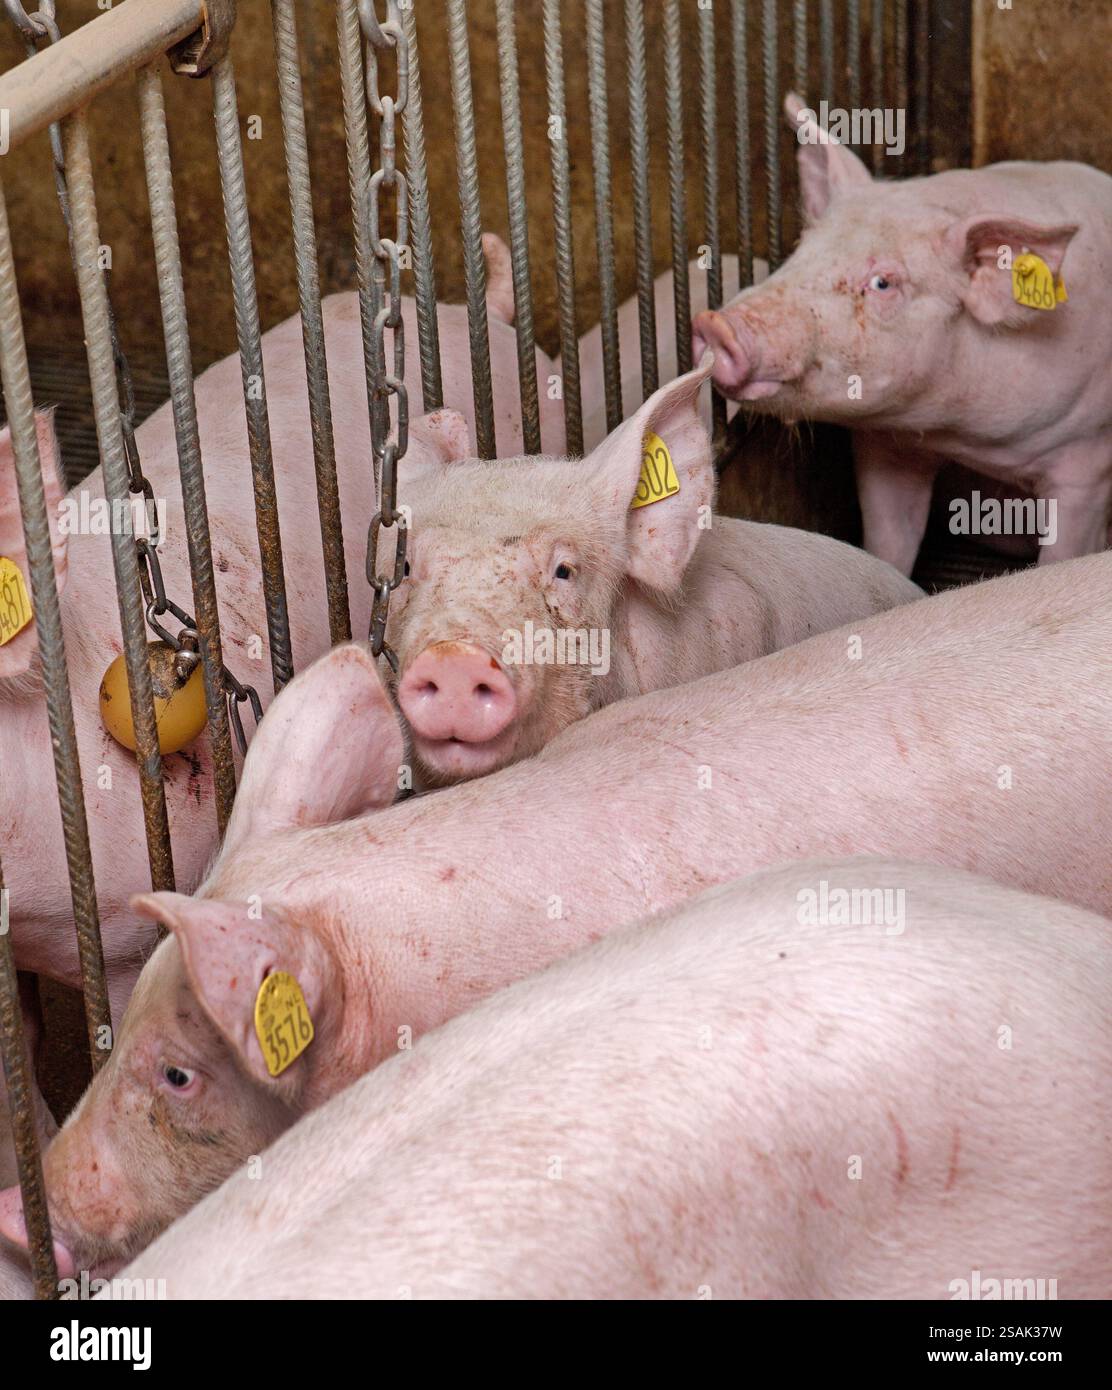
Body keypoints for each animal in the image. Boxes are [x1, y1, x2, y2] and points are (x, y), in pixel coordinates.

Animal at [693, 93, 1112, 574]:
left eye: (883, 283)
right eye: (802, 248)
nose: (716, 324)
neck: (964, 437)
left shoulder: (1087, 457)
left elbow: (1062, 555)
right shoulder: (885, 446)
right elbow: (890, 539)